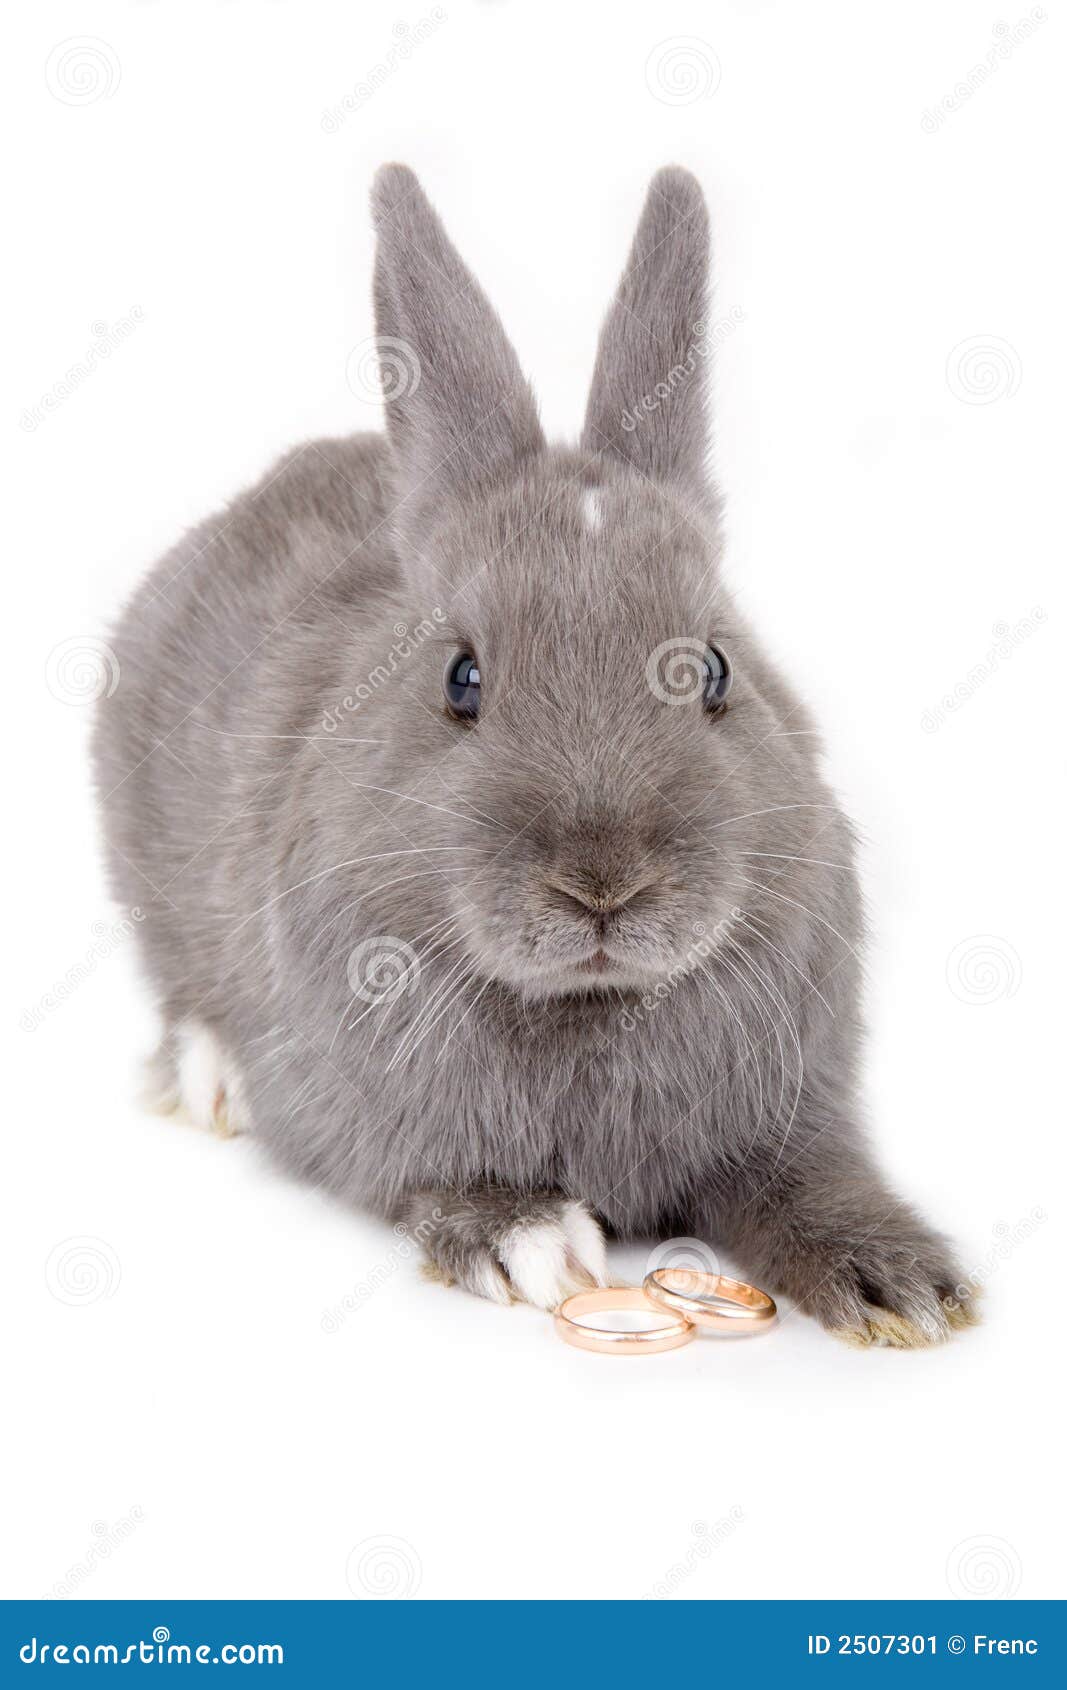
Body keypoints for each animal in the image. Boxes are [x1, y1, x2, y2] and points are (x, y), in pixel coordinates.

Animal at [92, 163, 975, 1347]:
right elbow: (433, 1177)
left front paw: (900, 1284)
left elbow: (806, 1179)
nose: (602, 883)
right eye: (461, 677)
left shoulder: (782, 1115)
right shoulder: (358, 1118)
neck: (587, 1003)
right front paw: (532, 1242)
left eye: (713, 669)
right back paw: (207, 1074)